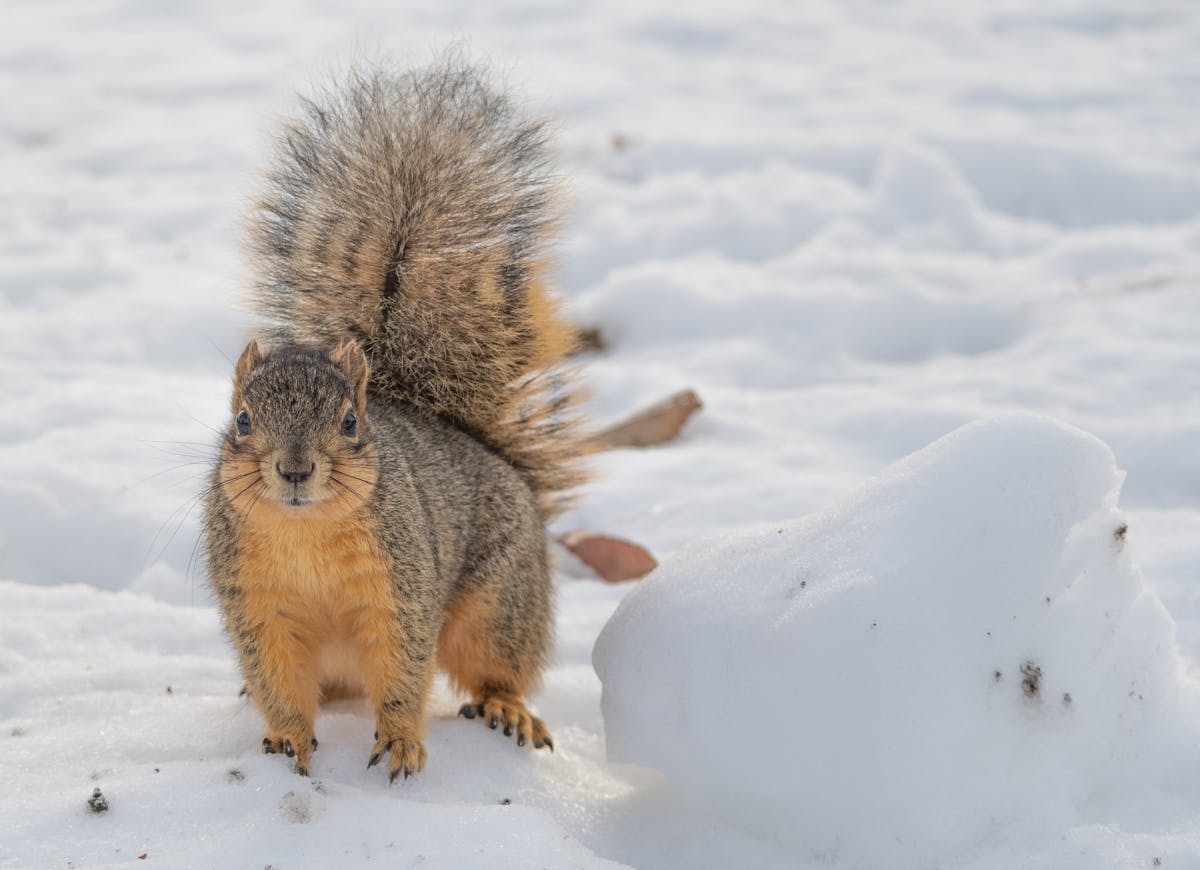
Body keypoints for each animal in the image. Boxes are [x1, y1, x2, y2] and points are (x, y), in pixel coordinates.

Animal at [202, 61, 587, 781]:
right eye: (240, 419)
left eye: (351, 423)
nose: (294, 470)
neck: (304, 535)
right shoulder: (258, 606)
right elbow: (276, 677)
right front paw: (286, 738)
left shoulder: (401, 586)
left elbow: (405, 667)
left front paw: (403, 741)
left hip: (500, 600)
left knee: (498, 665)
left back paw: (508, 709)